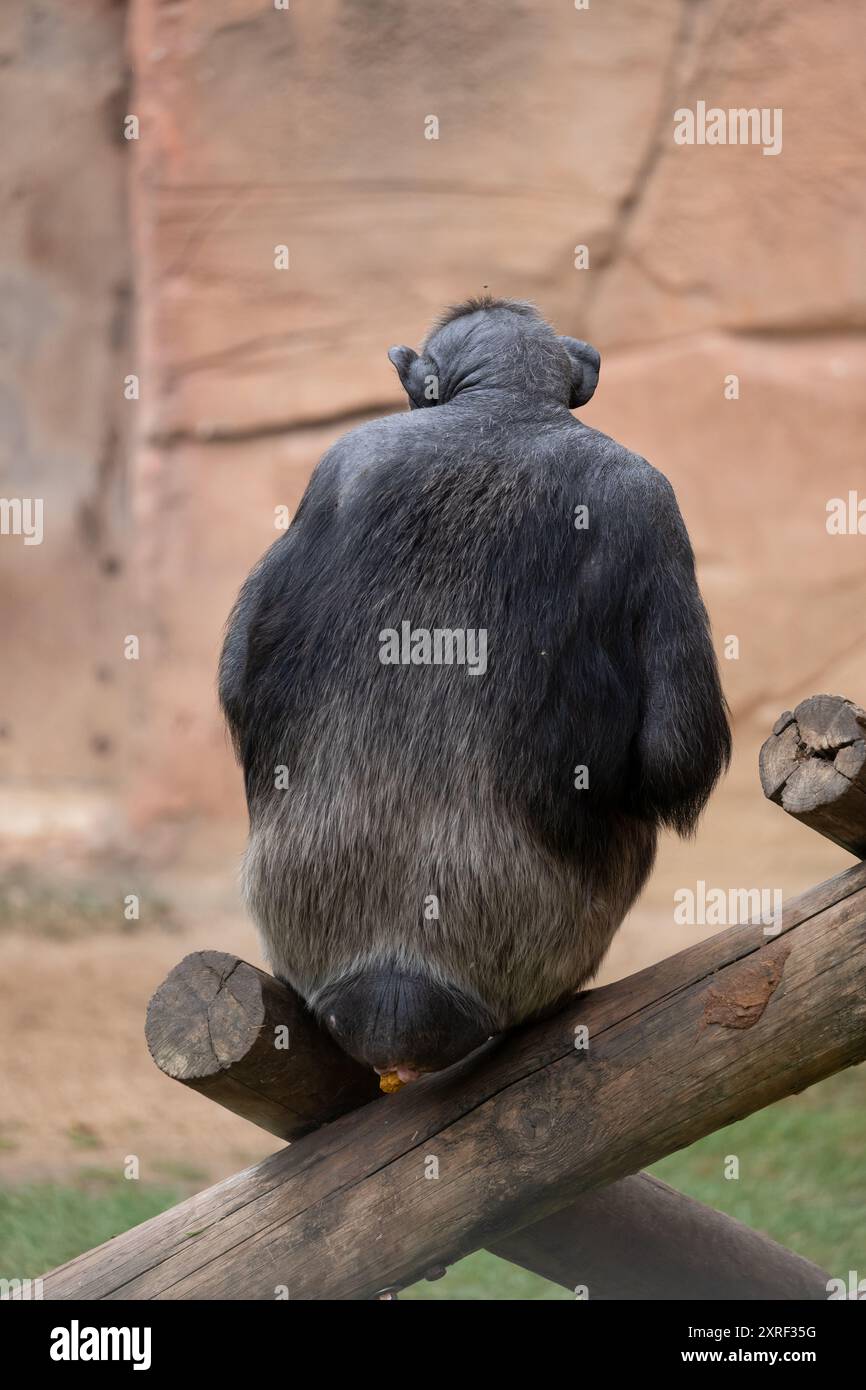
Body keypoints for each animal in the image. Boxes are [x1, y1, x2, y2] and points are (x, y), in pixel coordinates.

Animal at [219, 296, 730, 1083]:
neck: (499, 405)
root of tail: (395, 995)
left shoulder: (337, 464)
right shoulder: (650, 497)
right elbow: (676, 752)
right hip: (553, 953)